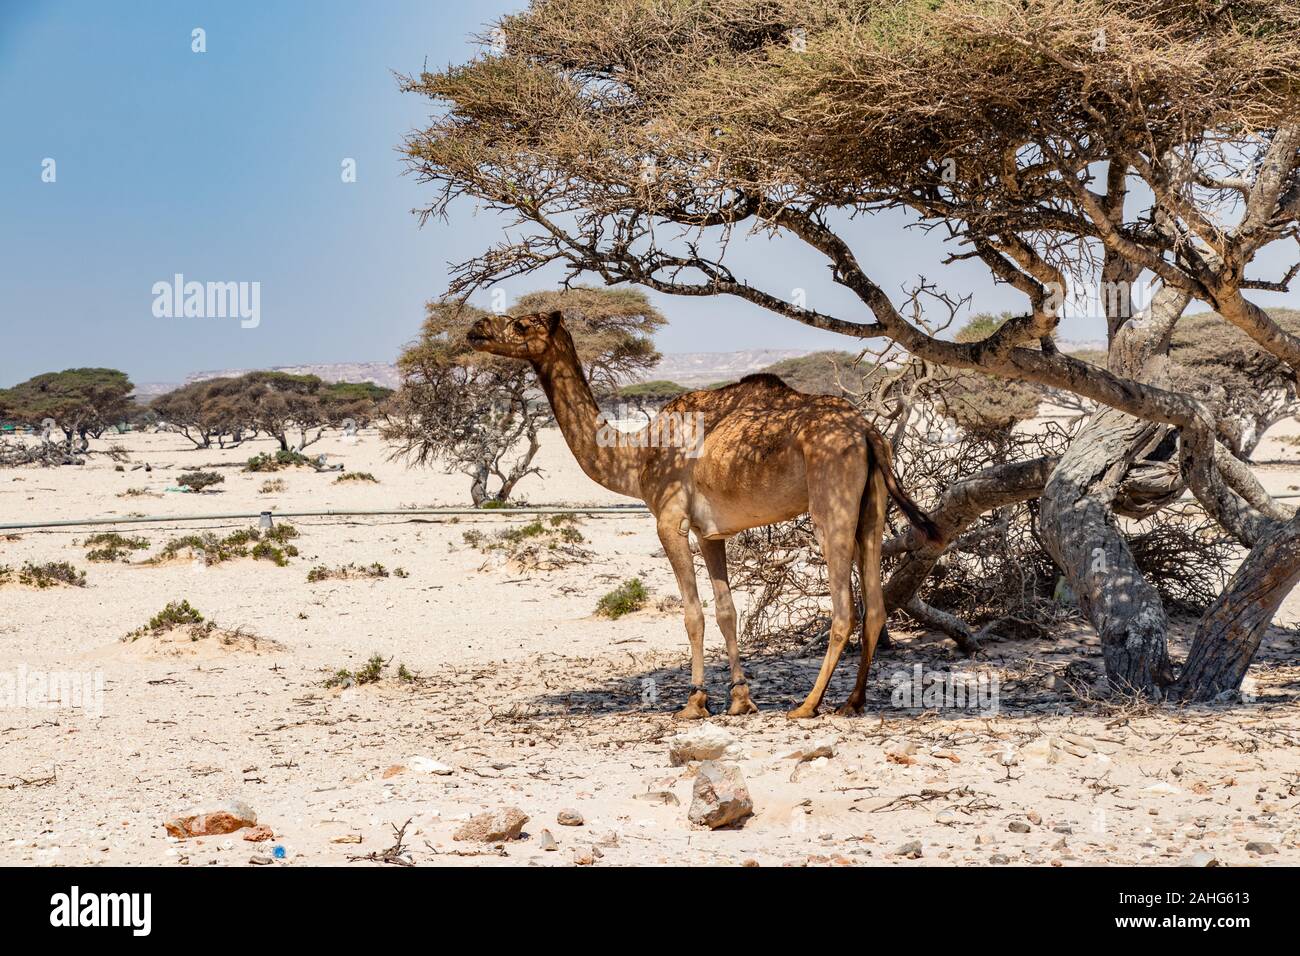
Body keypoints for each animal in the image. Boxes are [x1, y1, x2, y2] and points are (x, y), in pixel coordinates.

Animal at [467, 309, 938, 719]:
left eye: (521, 324)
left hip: (832, 505)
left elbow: (692, 614)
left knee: (845, 609)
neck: (637, 457)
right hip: (871, 509)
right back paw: (852, 702)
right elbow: (727, 611)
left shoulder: (669, 521)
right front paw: (740, 700)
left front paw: (694, 702)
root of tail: (868, 432)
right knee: (875, 605)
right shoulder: (710, 532)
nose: (476, 328)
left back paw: (807, 705)